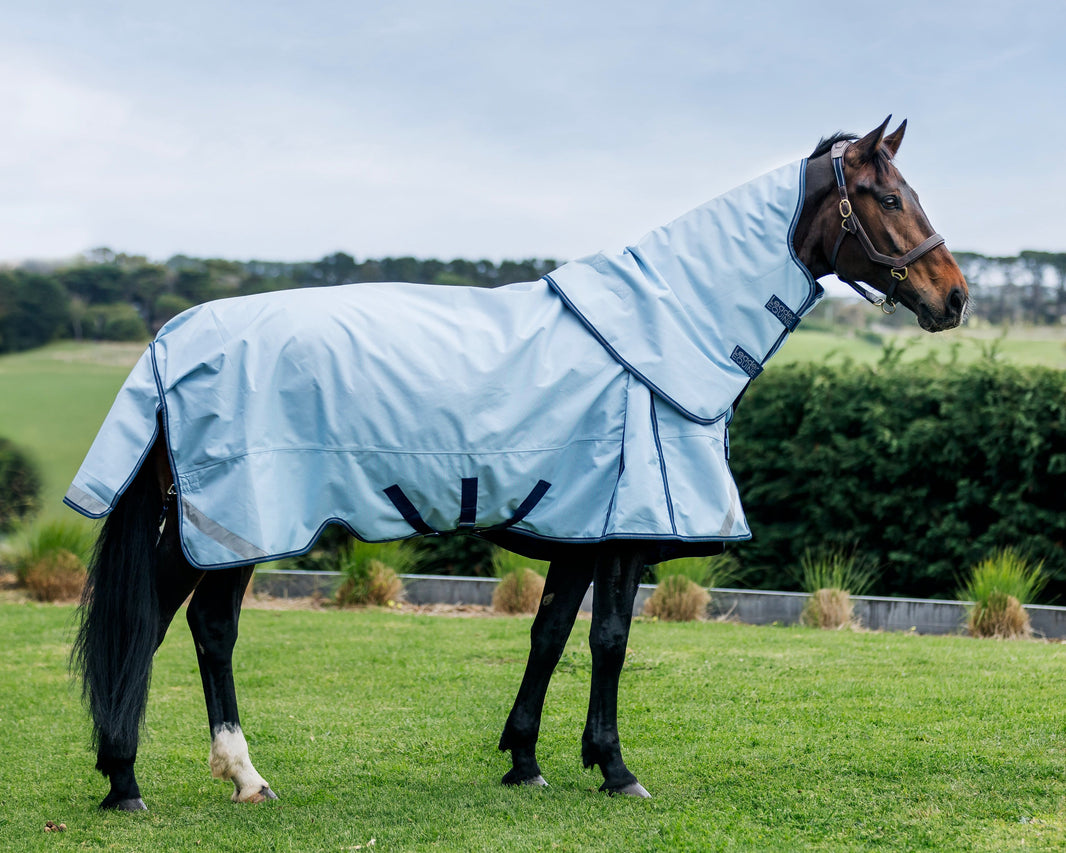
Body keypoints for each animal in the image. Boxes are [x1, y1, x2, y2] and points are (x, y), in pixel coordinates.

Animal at [69, 118, 968, 810]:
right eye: (890, 198)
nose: (953, 296)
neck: (654, 339)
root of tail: (172, 340)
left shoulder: (577, 529)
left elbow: (548, 635)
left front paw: (526, 760)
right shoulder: (623, 537)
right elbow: (608, 640)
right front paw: (615, 766)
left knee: (178, 624)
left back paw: (153, 773)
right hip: (233, 527)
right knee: (189, 624)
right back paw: (171, 778)